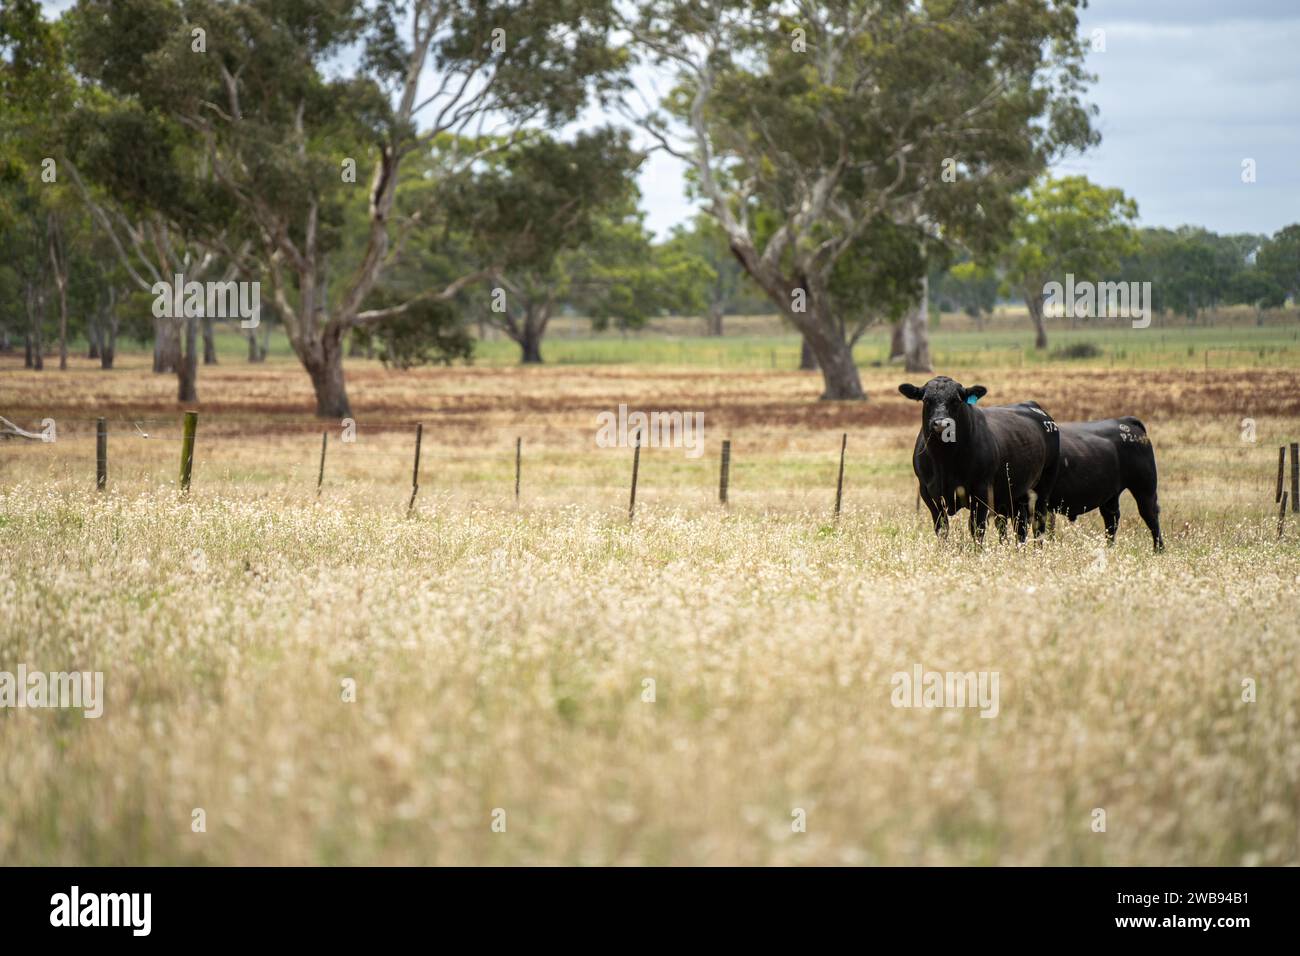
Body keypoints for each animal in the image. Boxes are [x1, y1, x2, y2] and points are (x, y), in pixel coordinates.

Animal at [899, 376, 1060, 544]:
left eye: (956, 400)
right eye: (926, 400)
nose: (941, 424)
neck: (944, 461)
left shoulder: (981, 491)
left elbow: (977, 529)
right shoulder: (928, 493)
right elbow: (942, 529)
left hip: (1044, 486)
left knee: (1039, 524)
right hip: (1014, 495)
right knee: (1017, 526)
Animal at [1048, 418, 1164, 552]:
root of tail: (1125, 421)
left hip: (1144, 490)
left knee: (1150, 516)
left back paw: (1158, 550)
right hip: (1111, 497)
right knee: (1111, 520)